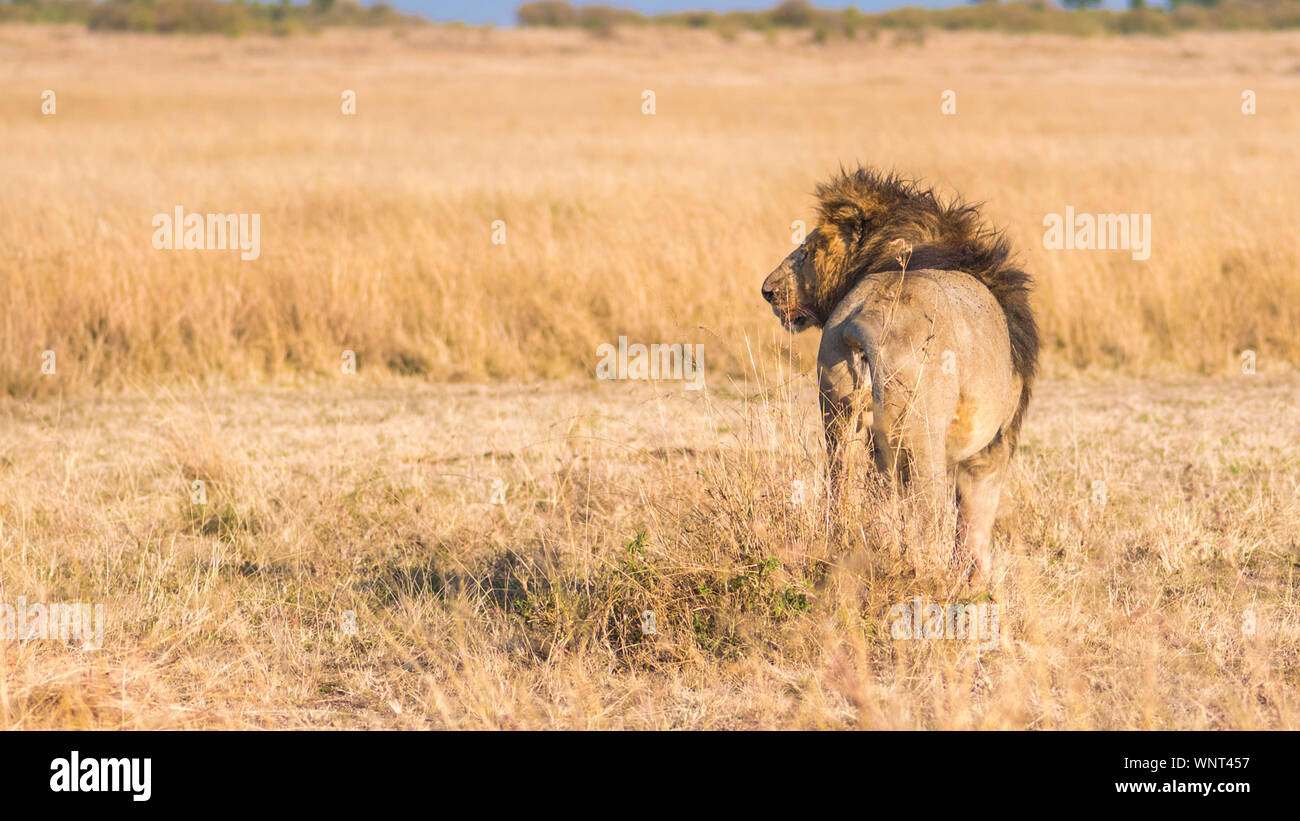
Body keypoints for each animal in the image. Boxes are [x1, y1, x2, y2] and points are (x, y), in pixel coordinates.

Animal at [760, 167, 1038, 581]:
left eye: (806, 252)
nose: (767, 291)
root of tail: (871, 313)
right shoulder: (993, 446)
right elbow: (975, 522)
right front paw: (977, 582)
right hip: (923, 435)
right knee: (928, 513)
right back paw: (926, 572)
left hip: (839, 413)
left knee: (840, 489)